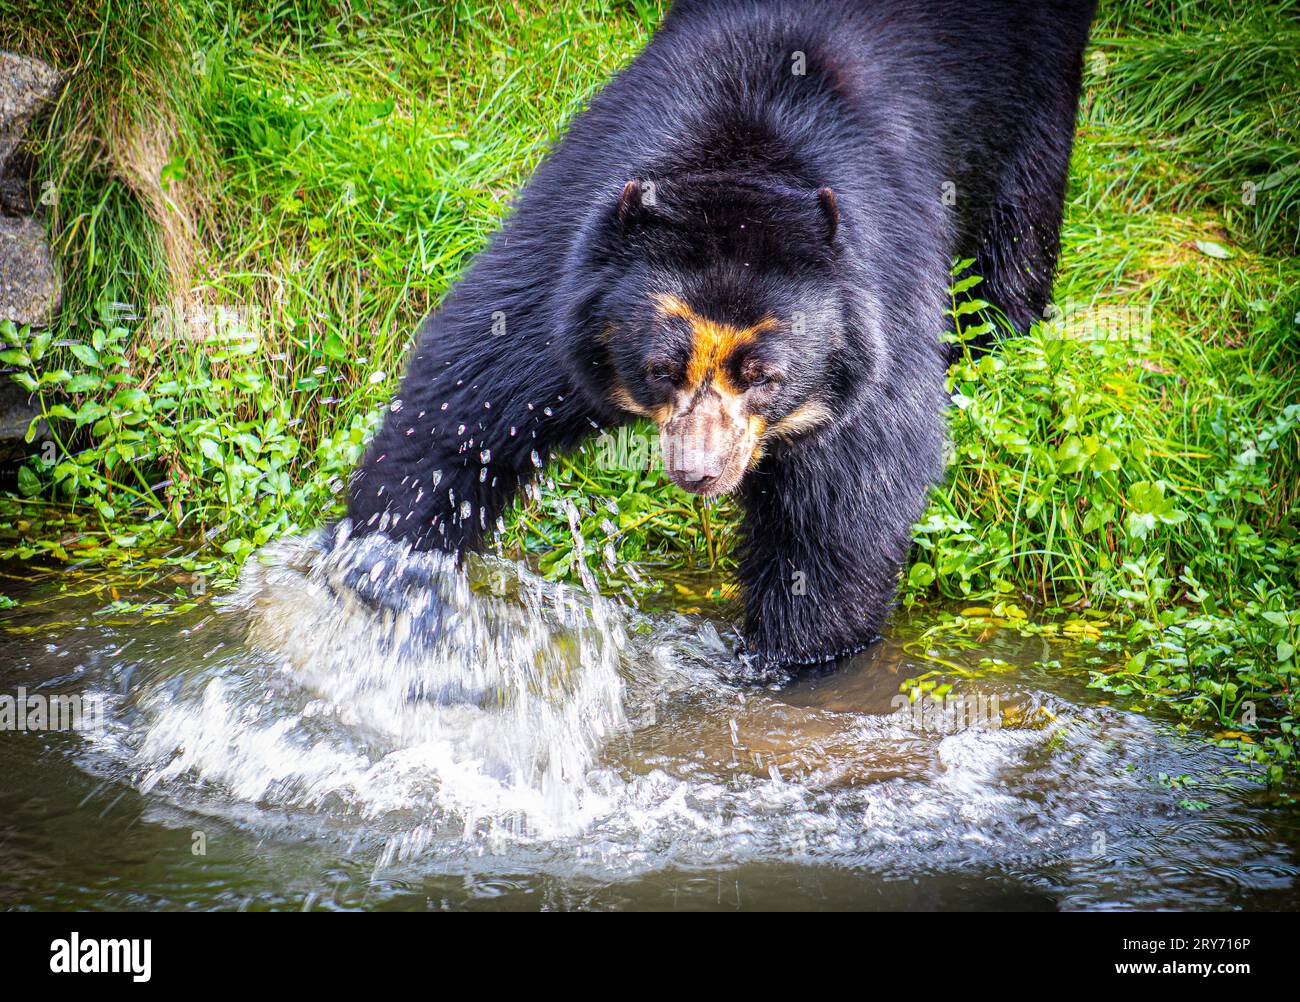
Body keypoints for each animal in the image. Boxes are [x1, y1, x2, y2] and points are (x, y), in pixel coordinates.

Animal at [346, 0, 1098, 668]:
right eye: (659, 369)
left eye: (764, 376)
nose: (699, 471)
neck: (744, 163)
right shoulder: (568, 260)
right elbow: (468, 400)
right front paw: (384, 572)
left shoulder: (881, 298)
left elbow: (847, 507)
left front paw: (790, 657)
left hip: (1038, 82)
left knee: (1017, 223)